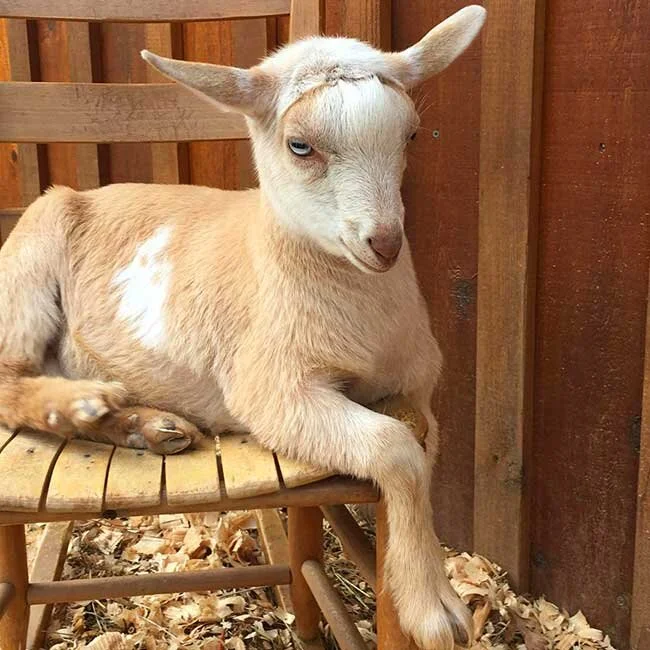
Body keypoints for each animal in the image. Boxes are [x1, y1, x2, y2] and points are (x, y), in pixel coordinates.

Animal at [0, 6, 486, 648]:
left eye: (409, 135)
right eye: (300, 145)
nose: (384, 243)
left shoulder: (417, 388)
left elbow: (425, 453)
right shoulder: (271, 389)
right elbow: (395, 449)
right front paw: (435, 609)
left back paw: (146, 426)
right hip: (25, 267)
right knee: (9, 382)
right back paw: (82, 404)